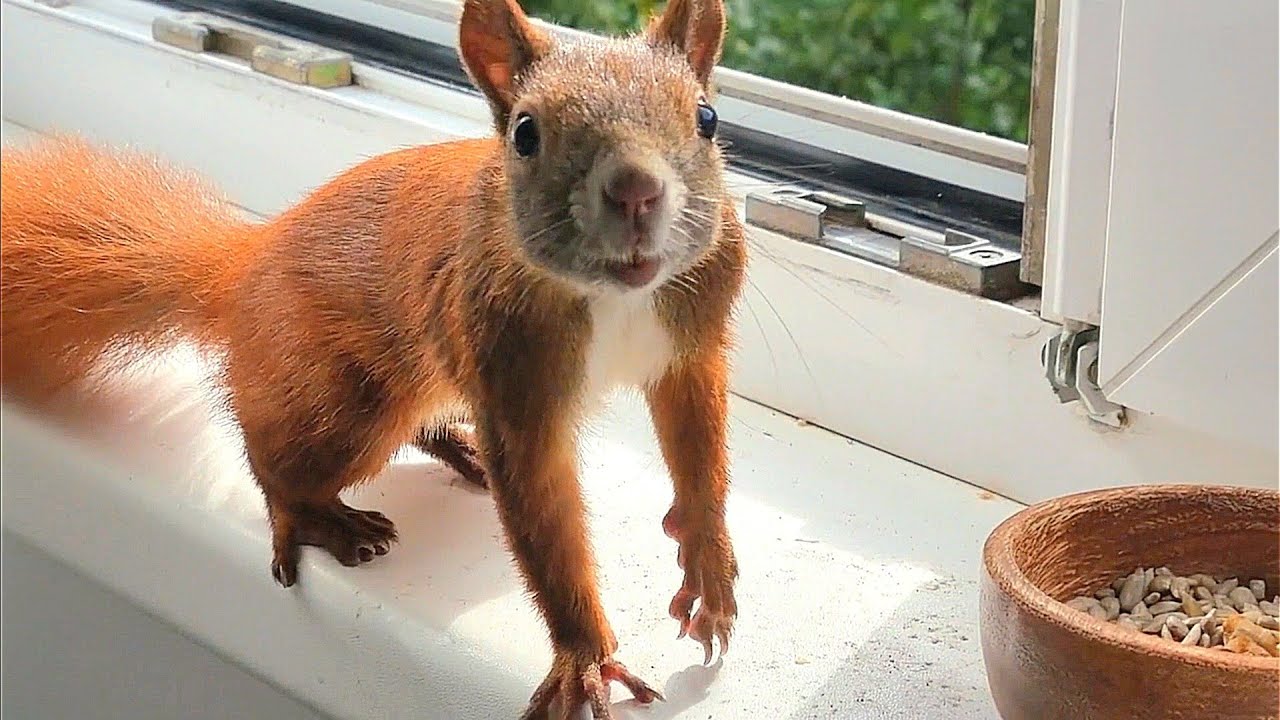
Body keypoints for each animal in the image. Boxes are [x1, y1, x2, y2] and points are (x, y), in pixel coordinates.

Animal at [0, 0, 744, 716]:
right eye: (526, 133)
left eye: (706, 117)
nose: (635, 190)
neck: (617, 299)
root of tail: (244, 269)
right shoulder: (511, 376)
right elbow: (545, 524)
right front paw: (585, 658)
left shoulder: (691, 347)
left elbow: (699, 453)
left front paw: (707, 563)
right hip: (346, 407)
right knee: (273, 458)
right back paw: (314, 517)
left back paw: (457, 448)